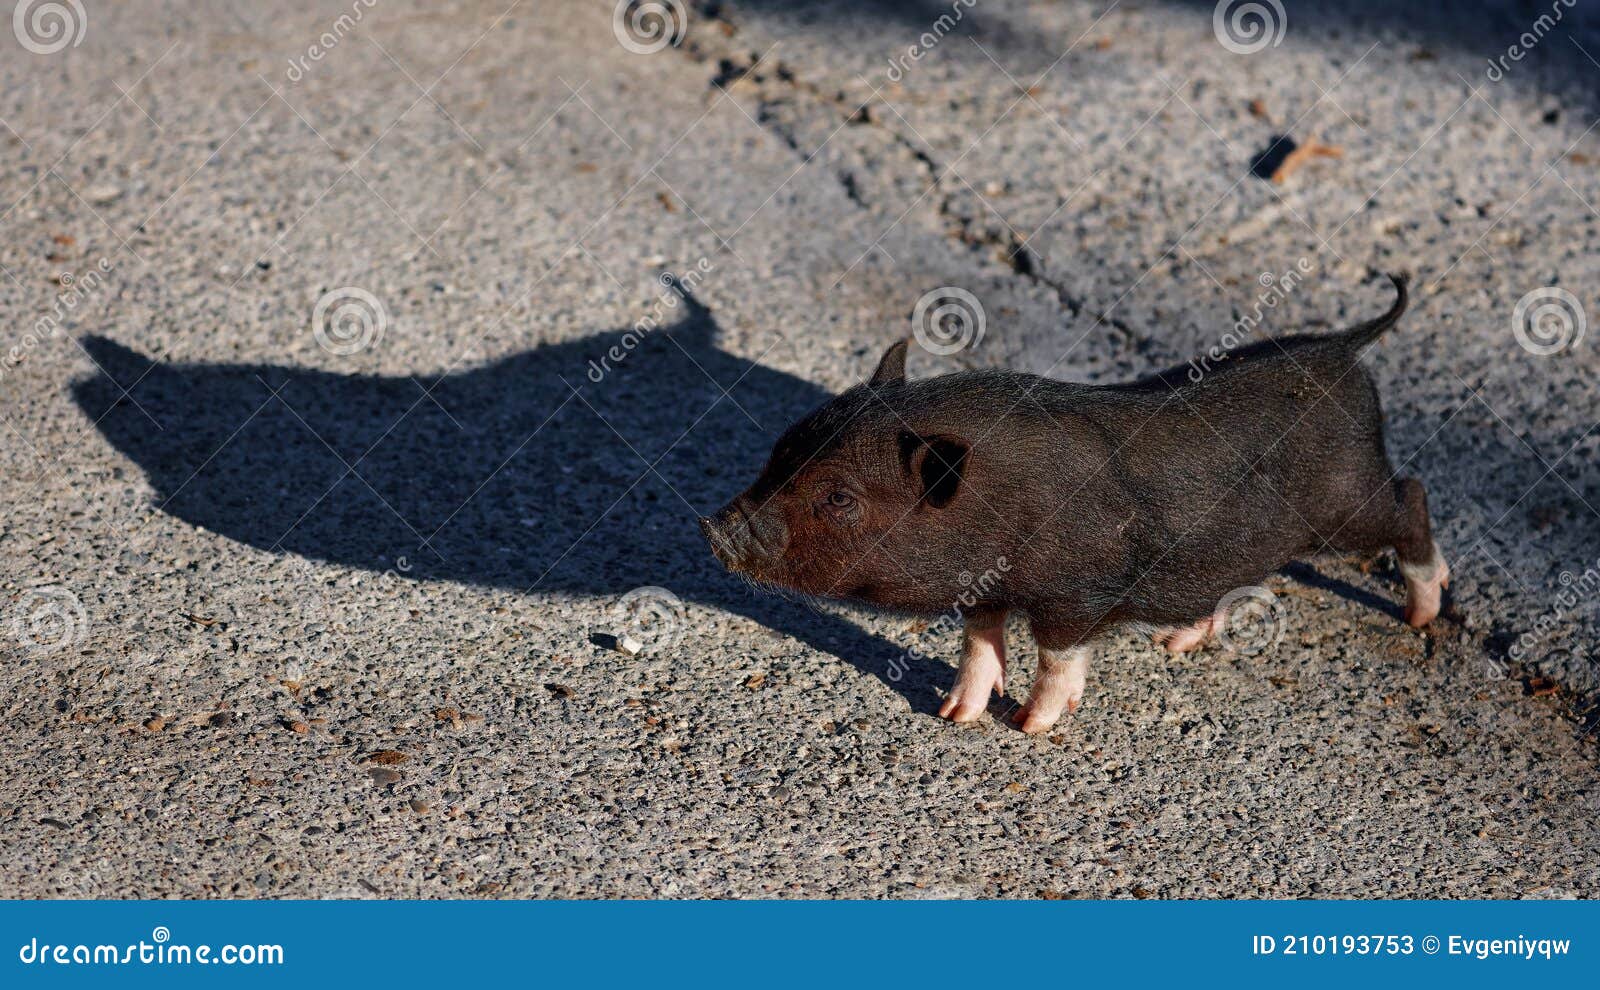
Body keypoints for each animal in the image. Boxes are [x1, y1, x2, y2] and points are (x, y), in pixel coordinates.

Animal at [700, 275, 1447, 733]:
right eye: (781, 448)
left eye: (839, 496)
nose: (715, 526)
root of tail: (1341, 348)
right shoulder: (989, 588)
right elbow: (980, 642)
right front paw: (951, 716)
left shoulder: (1077, 591)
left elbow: (1058, 653)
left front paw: (1027, 726)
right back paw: (1176, 644)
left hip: (1348, 502)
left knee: (1411, 496)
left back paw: (1421, 615)